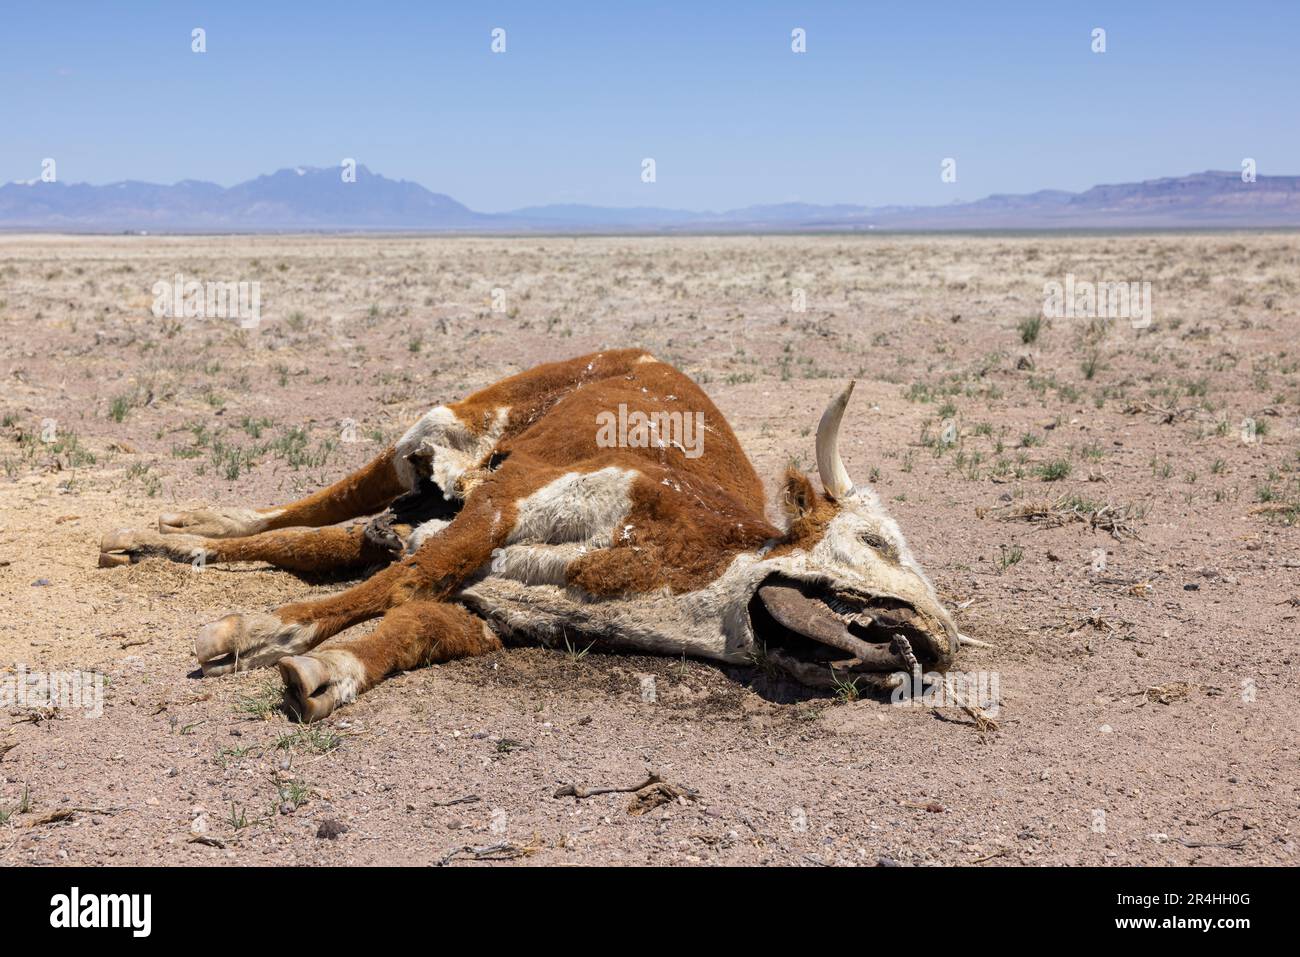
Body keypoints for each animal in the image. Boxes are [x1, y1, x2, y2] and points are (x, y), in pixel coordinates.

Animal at [99, 350, 963, 722]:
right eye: (879, 542)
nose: (944, 640)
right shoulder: (501, 506)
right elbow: (400, 584)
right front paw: (264, 630)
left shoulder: (494, 613)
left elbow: (411, 619)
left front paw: (327, 669)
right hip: (433, 431)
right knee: (304, 513)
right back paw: (170, 530)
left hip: (412, 498)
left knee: (314, 543)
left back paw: (176, 539)